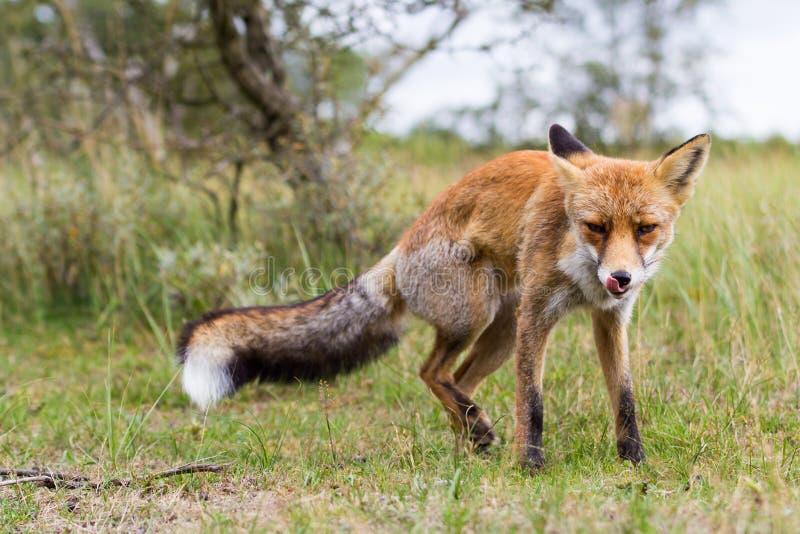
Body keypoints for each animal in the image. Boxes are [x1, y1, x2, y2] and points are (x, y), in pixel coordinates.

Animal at [177, 124, 711, 472]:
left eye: (645, 228)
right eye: (595, 226)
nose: (620, 277)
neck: (581, 272)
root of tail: (401, 246)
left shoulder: (611, 319)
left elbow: (624, 398)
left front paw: (634, 462)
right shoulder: (538, 318)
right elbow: (532, 403)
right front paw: (531, 467)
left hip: (500, 331)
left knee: (458, 380)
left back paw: (472, 437)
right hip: (479, 316)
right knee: (431, 372)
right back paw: (476, 433)